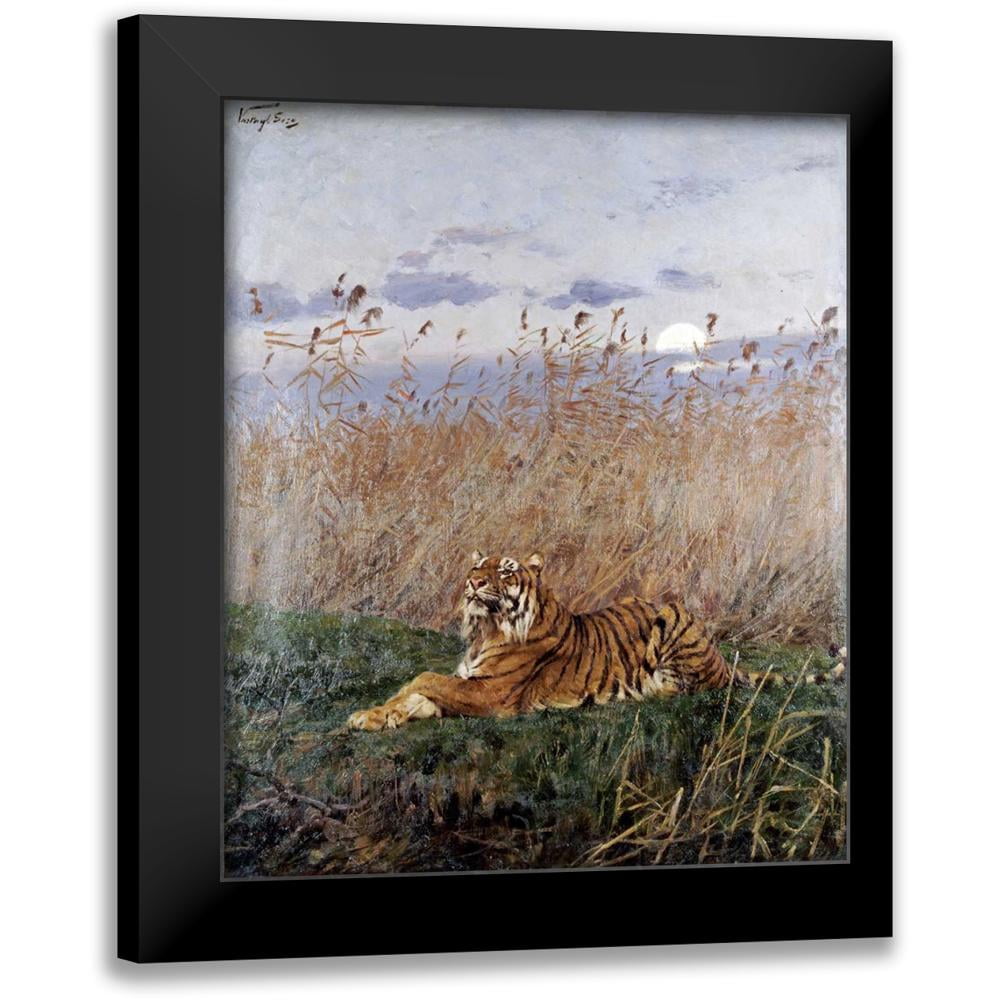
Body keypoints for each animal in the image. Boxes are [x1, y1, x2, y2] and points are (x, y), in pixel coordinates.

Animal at [346, 550, 845, 731]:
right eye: (478, 564)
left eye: (505, 570)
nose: (472, 580)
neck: (485, 629)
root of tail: (721, 656)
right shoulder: (470, 682)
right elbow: (419, 691)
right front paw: (374, 716)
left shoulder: (493, 692)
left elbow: (423, 677)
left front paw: (375, 713)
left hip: (671, 617)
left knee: (692, 686)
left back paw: (640, 690)